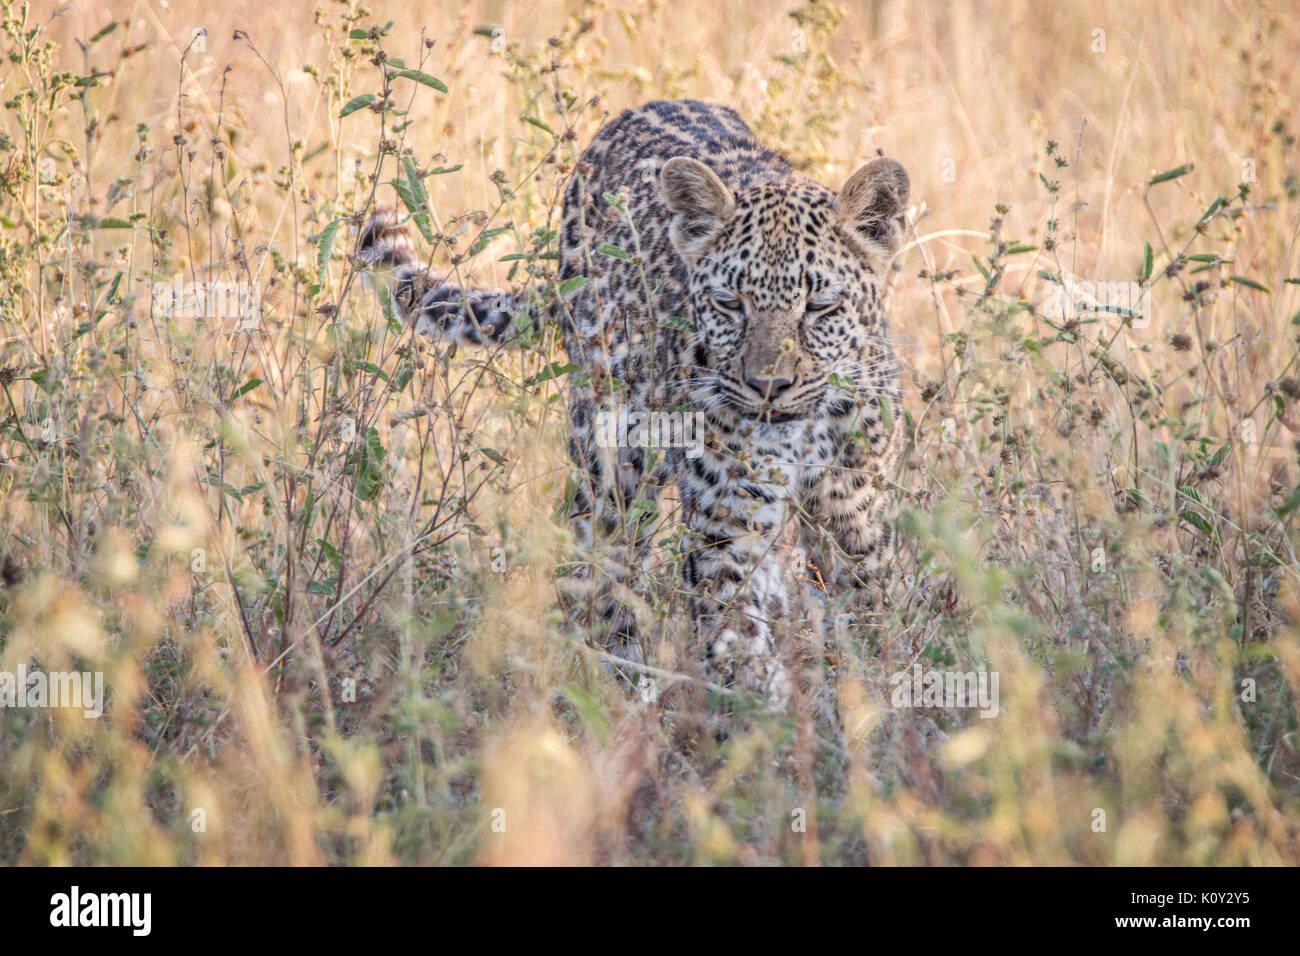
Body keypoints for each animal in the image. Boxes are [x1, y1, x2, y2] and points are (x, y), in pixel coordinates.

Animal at [359, 99, 909, 709]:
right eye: (729, 303)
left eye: (819, 306)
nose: (768, 385)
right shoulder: (726, 520)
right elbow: (736, 633)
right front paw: (758, 718)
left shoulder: (855, 514)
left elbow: (867, 615)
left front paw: (871, 703)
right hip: (607, 461)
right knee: (600, 571)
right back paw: (618, 689)